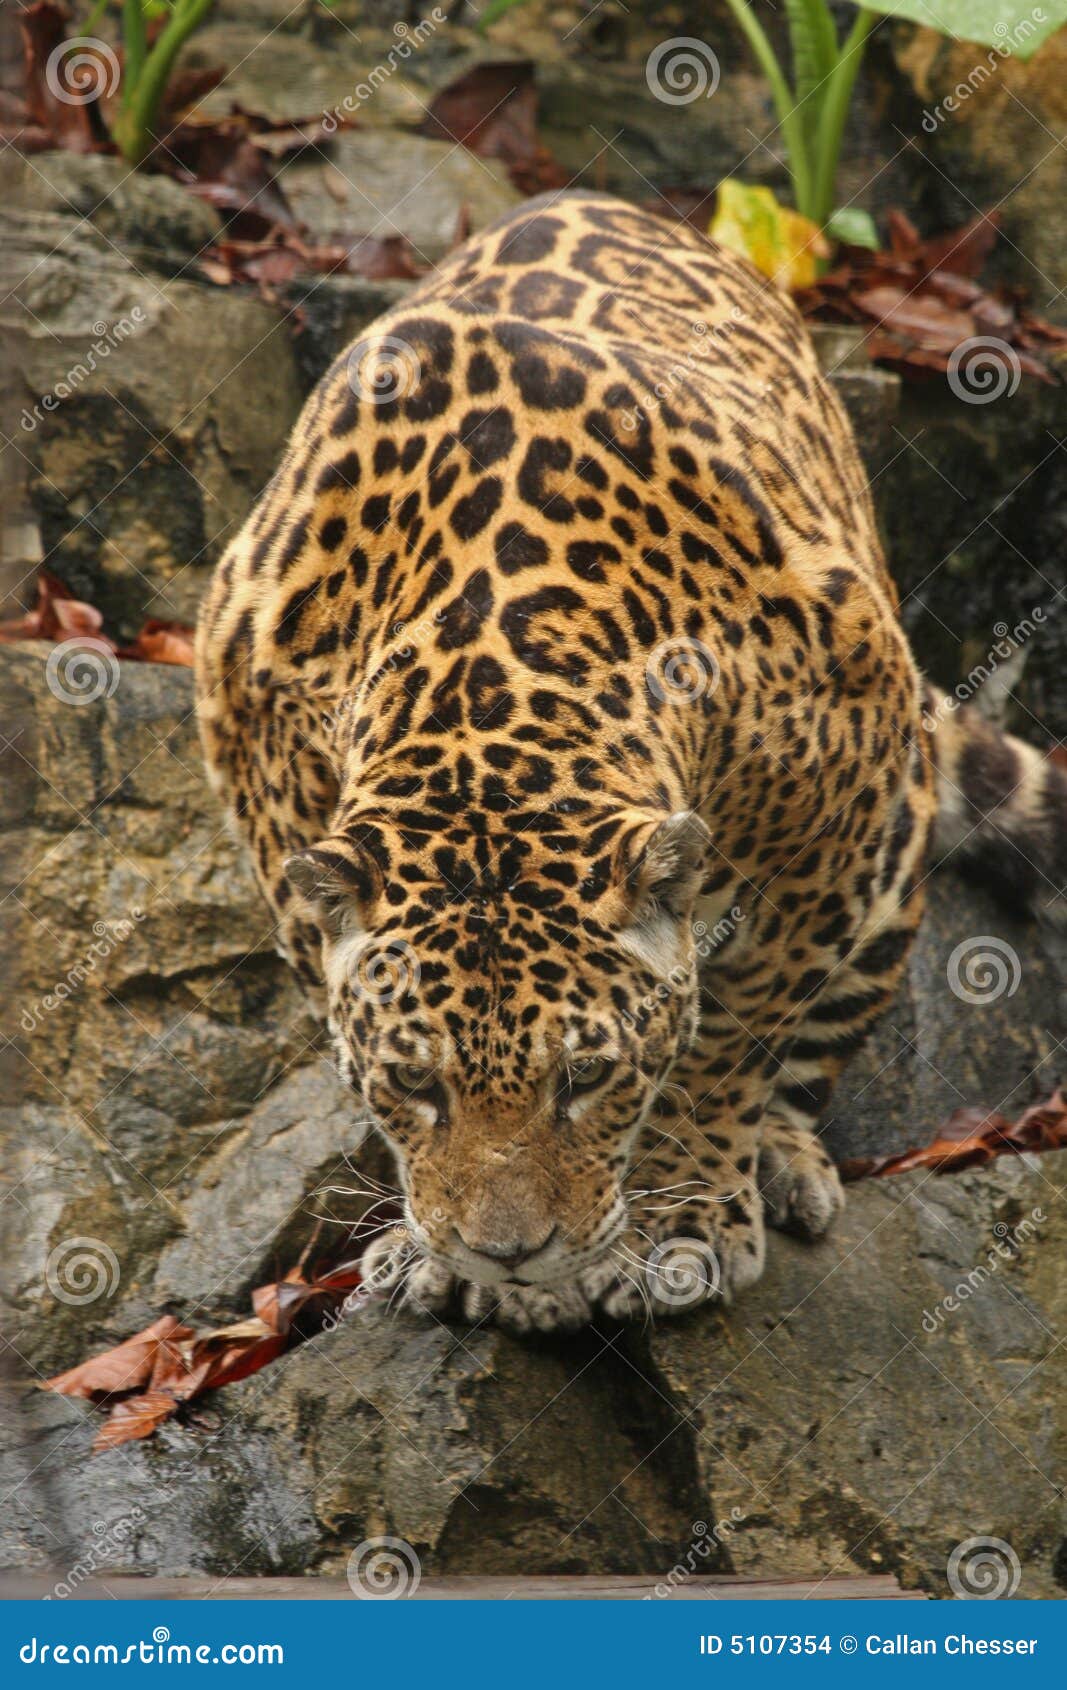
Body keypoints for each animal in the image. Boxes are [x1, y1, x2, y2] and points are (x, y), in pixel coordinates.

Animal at [196, 191, 1066, 1334]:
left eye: (588, 1076)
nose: (510, 1251)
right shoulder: (260, 766)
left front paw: (679, 1217)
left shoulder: (833, 817)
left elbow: (731, 1036)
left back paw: (783, 1164)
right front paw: (438, 1249)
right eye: (415, 1084)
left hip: (894, 856)